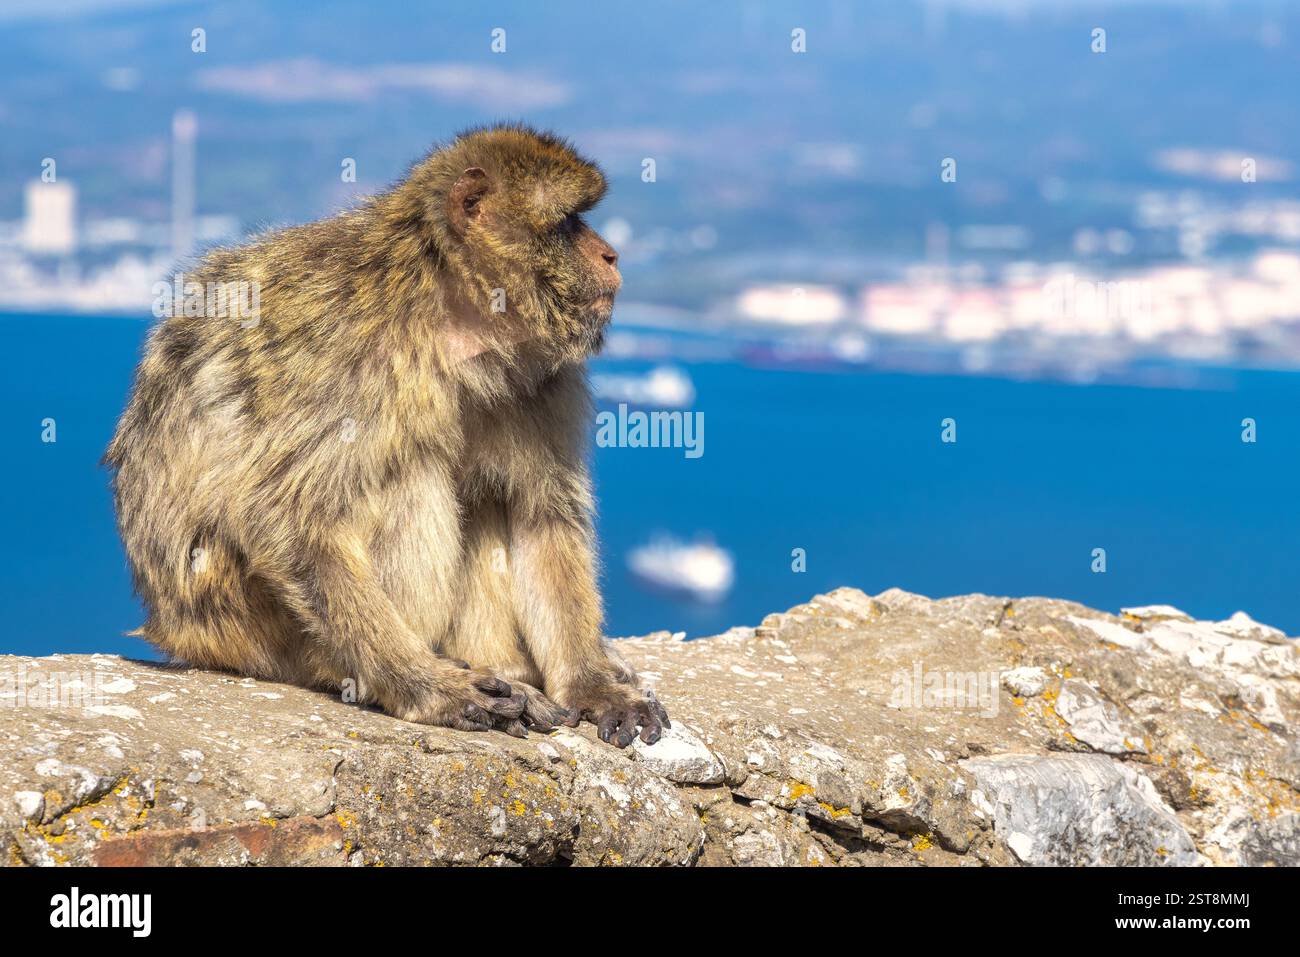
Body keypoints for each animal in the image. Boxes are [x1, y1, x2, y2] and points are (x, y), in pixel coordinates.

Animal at [104, 124, 669, 748]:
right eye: (569, 223)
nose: (610, 254)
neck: (449, 318)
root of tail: (175, 629)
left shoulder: (546, 378)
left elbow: (541, 515)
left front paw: (592, 684)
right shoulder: (346, 347)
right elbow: (291, 523)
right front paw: (429, 686)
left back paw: (508, 666)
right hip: (243, 623)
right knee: (410, 473)